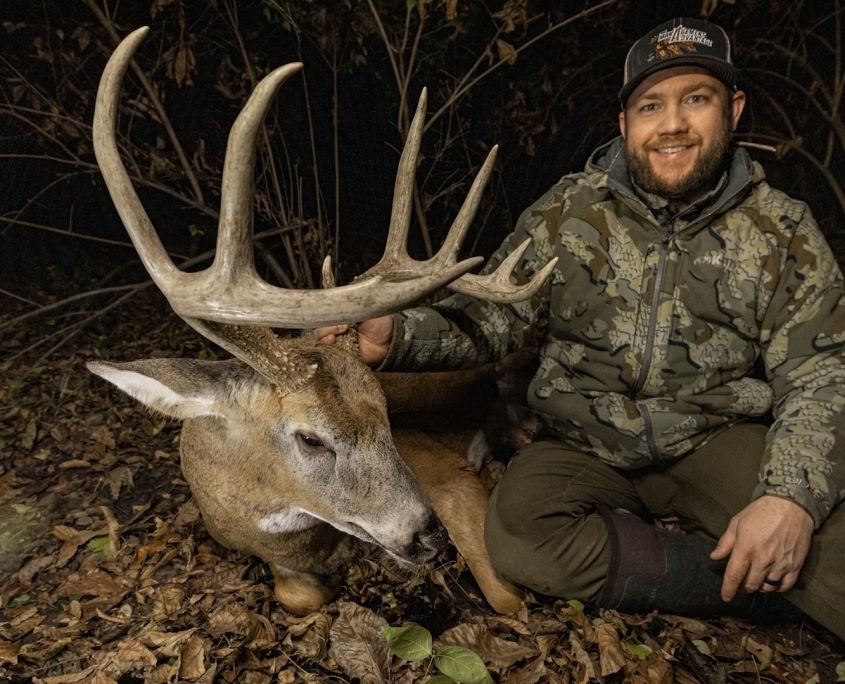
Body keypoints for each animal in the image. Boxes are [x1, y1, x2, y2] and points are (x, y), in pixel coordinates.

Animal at [86, 27, 557, 616]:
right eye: (311, 439)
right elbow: (298, 597)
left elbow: (505, 598)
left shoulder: (450, 478)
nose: (426, 535)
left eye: (387, 413)